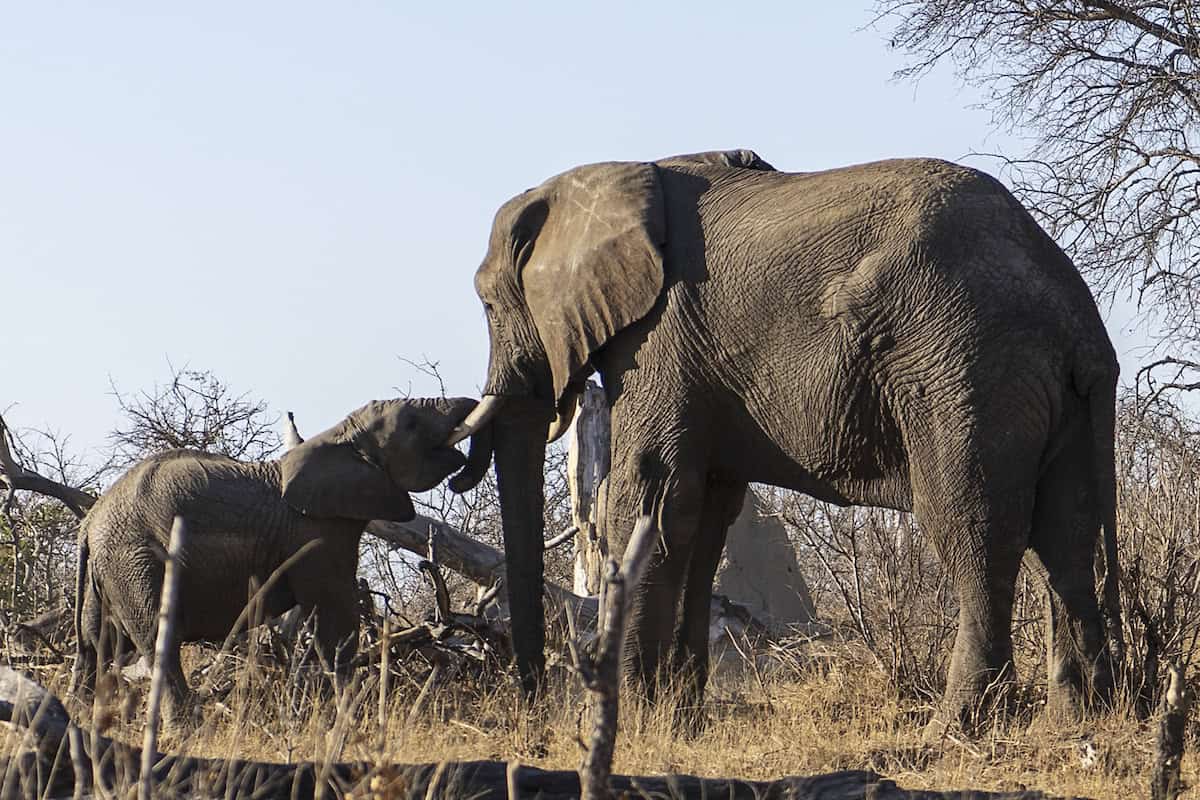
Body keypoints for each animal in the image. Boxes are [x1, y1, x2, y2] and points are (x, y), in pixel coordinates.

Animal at [72, 397, 480, 724]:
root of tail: (89, 524)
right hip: (135, 559)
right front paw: (350, 717)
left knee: (96, 644)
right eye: (411, 423)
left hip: (109, 570)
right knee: (161, 639)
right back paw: (183, 729)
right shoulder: (316, 534)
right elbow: (335, 618)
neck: (341, 438)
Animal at [447, 149, 1121, 725]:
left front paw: (630, 715)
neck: (610, 178)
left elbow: (652, 495)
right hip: (1046, 390)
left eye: (488, 306)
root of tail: (1078, 317)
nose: (532, 700)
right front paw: (679, 720)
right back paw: (1074, 722)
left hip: (967, 371)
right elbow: (707, 516)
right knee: (1066, 536)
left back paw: (955, 728)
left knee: (975, 531)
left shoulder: (659, 341)